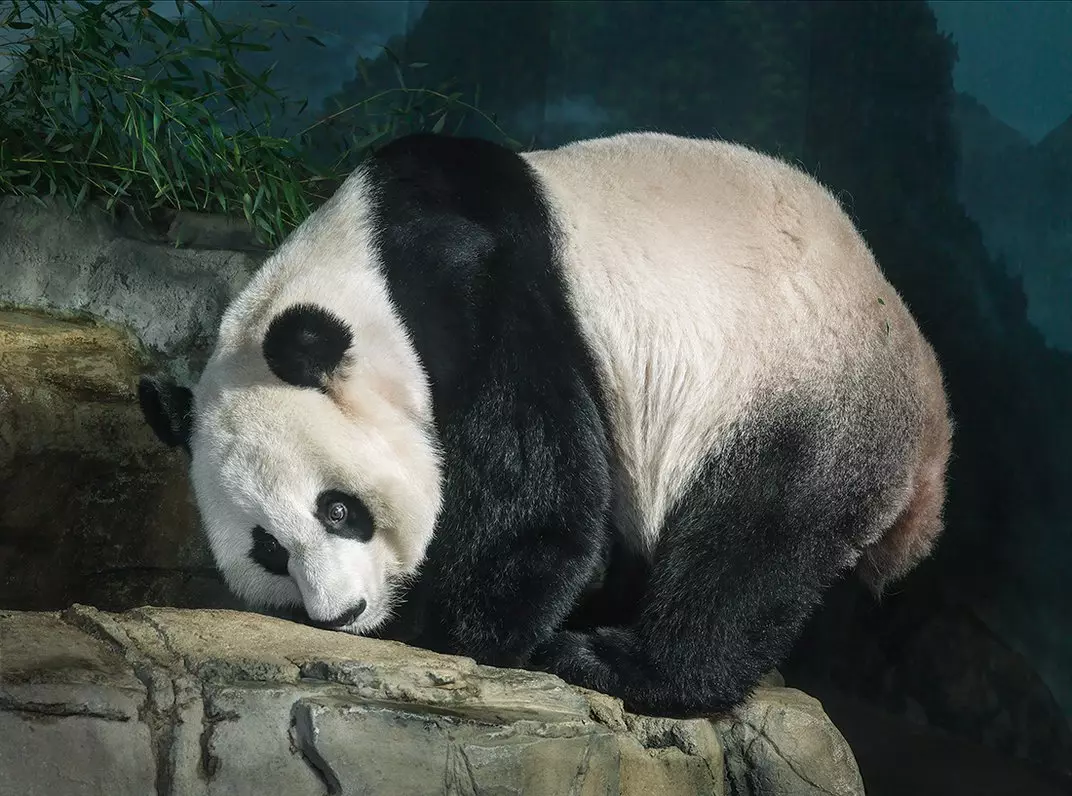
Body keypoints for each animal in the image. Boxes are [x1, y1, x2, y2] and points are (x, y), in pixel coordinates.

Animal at [138, 130, 951, 715]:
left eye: (338, 510)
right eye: (269, 549)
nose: (343, 614)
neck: (357, 265)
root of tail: (929, 425)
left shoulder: (479, 287)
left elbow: (540, 497)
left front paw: (454, 630)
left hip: (793, 392)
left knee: (754, 540)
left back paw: (621, 663)